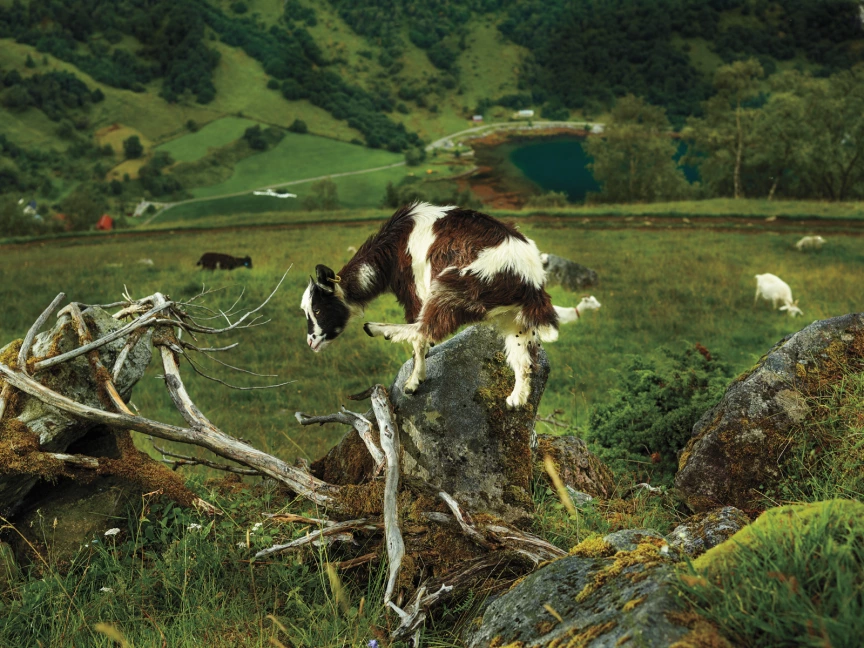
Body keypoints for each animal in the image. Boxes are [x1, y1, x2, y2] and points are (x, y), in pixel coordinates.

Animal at [301, 202, 587, 408]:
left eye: (318, 309)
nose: (311, 342)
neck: (395, 246)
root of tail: (530, 280)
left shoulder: (416, 289)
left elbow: (418, 336)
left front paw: (414, 381)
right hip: (514, 318)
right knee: (524, 360)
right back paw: (516, 399)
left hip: (451, 286)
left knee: (423, 328)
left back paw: (377, 330)